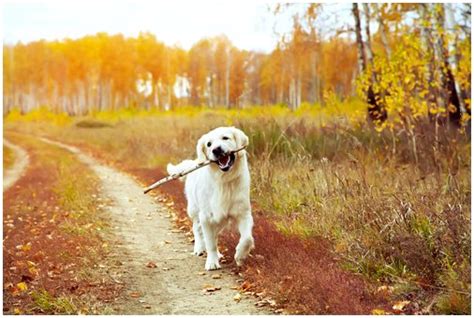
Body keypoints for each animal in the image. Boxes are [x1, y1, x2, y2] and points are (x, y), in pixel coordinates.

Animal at [168, 126, 254, 270]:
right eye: (209, 144)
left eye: (225, 138)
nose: (216, 150)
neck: (224, 180)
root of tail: (194, 162)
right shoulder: (206, 218)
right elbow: (210, 243)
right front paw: (212, 262)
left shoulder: (243, 213)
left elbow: (247, 238)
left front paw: (240, 256)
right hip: (195, 210)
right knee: (197, 229)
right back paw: (199, 248)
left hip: (220, 220)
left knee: (215, 234)